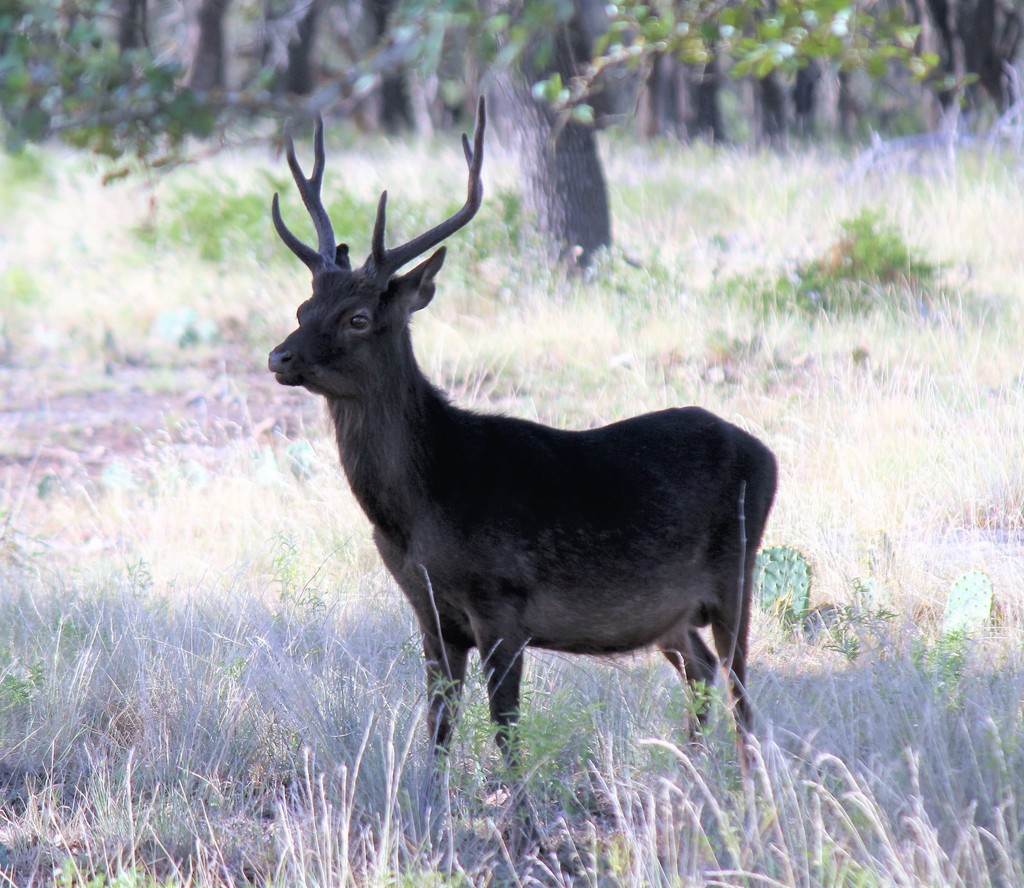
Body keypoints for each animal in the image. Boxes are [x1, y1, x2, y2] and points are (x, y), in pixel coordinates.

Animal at [267, 97, 778, 777]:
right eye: (302, 309)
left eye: (358, 318)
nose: (279, 356)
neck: (420, 511)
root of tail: (766, 453)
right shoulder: (429, 611)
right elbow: (438, 726)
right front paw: (431, 797)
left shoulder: (502, 602)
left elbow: (506, 729)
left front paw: (513, 803)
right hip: (668, 613)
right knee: (700, 671)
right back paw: (687, 777)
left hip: (736, 571)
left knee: (742, 694)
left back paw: (745, 790)